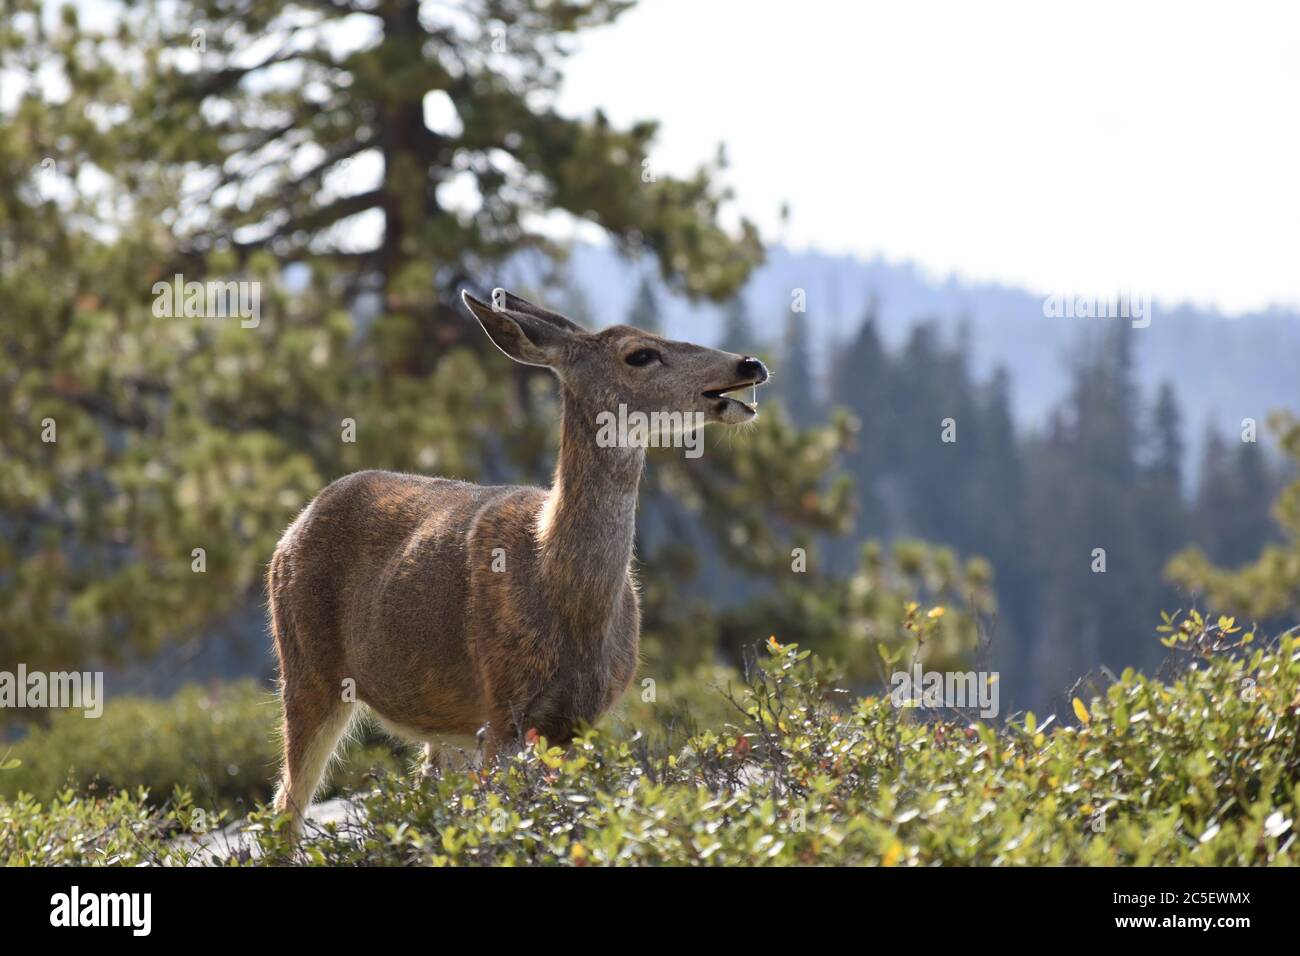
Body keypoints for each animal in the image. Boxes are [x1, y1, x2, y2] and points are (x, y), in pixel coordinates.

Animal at [267, 288, 770, 834]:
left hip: (445, 724)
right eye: (639, 354)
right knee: (285, 805)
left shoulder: (580, 718)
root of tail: (292, 528)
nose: (750, 363)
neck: (565, 593)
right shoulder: (504, 699)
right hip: (306, 664)